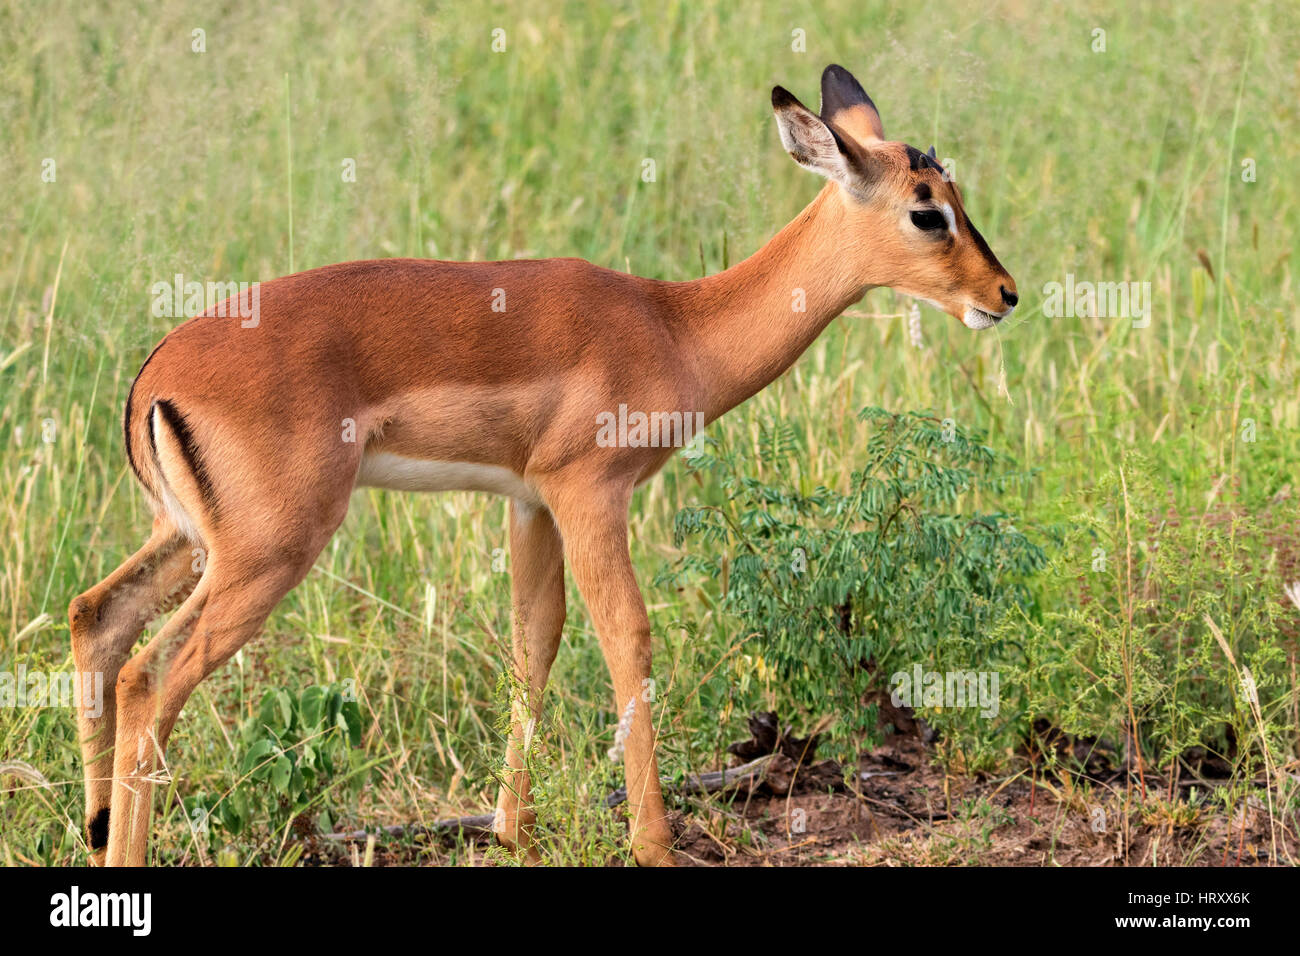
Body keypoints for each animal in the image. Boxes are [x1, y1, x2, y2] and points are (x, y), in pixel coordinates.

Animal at [70, 64, 1016, 867]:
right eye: (927, 210)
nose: (1003, 294)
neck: (676, 328)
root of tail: (156, 375)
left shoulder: (528, 503)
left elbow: (535, 641)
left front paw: (512, 831)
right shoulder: (589, 491)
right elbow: (627, 635)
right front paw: (653, 844)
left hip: (193, 539)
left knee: (96, 618)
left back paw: (96, 826)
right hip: (269, 550)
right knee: (152, 674)